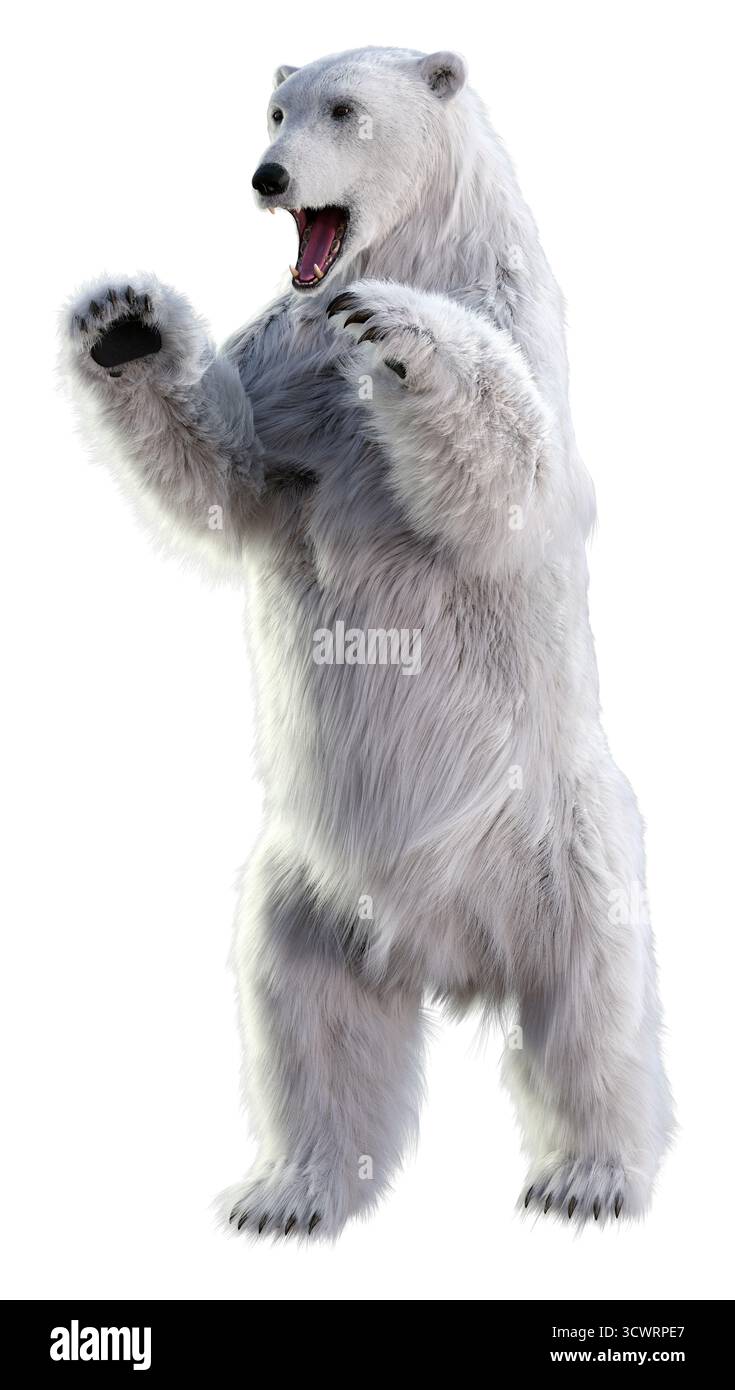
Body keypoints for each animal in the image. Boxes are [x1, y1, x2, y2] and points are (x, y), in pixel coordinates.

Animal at [61, 45, 673, 1239]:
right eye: (274, 109)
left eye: (344, 110)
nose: (267, 177)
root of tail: (449, 952)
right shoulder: (285, 369)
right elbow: (223, 474)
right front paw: (123, 320)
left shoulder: (508, 310)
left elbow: (507, 471)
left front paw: (396, 327)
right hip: (299, 888)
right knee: (308, 1022)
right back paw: (288, 1192)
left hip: (568, 848)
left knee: (595, 1013)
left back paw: (587, 1177)